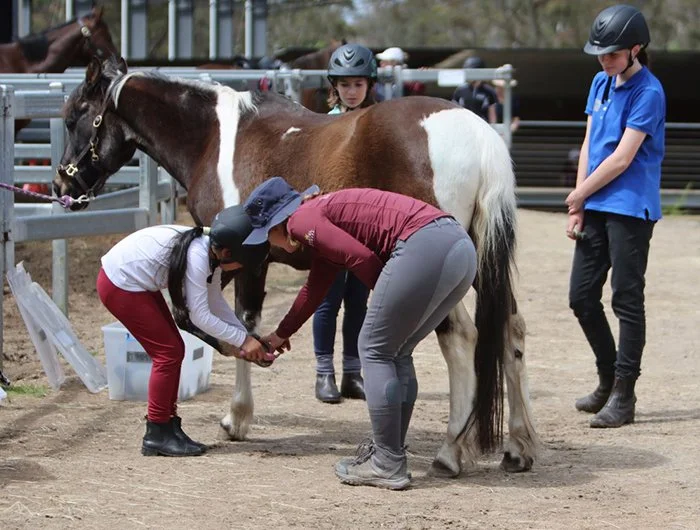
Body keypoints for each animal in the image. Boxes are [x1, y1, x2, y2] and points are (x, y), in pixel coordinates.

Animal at [54, 56, 538, 477]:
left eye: (74, 116)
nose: (62, 184)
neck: (214, 137)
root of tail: (478, 136)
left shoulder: (241, 259)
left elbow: (238, 322)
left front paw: (237, 416)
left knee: (461, 337)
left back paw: (451, 451)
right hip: (481, 263)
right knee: (509, 329)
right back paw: (518, 447)